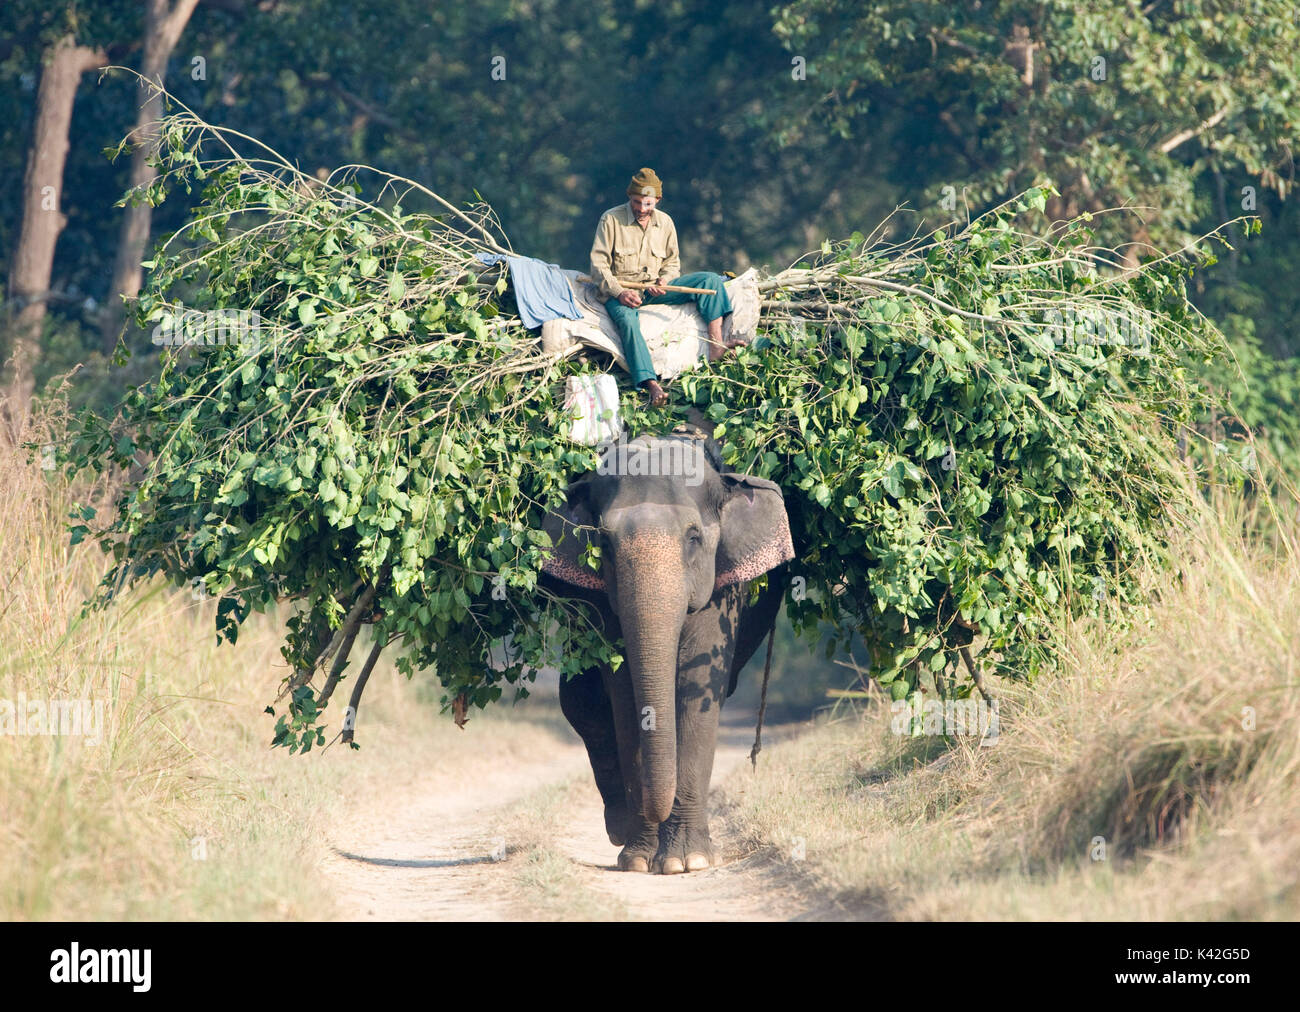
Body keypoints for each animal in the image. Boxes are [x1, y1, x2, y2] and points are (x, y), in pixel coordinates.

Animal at [539, 429, 795, 873]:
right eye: (603, 542)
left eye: (694, 537)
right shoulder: (604, 600)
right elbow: (625, 694)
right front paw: (640, 860)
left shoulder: (722, 592)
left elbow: (696, 684)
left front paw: (686, 862)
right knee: (581, 703)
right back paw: (619, 828)